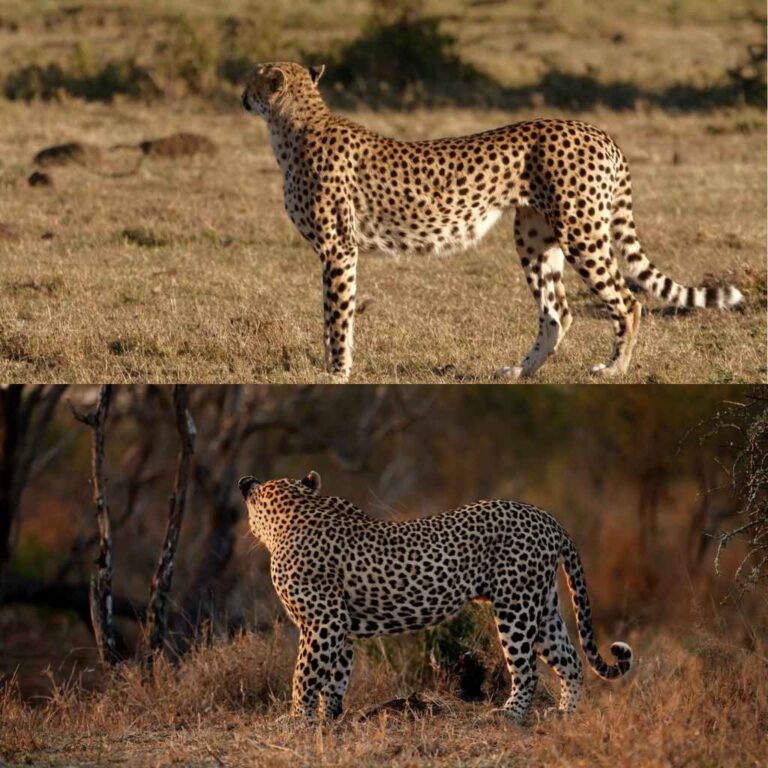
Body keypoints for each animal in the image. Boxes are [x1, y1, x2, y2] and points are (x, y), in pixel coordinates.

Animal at [239, 471, 634, 723]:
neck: (292, 512)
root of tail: (549, 519)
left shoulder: (324, 622)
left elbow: (304, 674)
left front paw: (296, 720)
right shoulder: (340, 627)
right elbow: (334, 676)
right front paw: (327, 718)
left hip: (516, 608)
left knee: (527, 670)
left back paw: (509, 715)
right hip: (543, 607)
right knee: (571, 660)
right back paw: (566, 713)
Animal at [241, 61, 743, 382]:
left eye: (254, 78)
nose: (242, 95)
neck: (295, 125)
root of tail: (598, 131)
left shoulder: (338, 248)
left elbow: (337, 315)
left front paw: (337, 372)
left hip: (581, 231)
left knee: (627, 301)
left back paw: (614, 369)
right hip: (535, 235)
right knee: (557, 312)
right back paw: (520, 371)